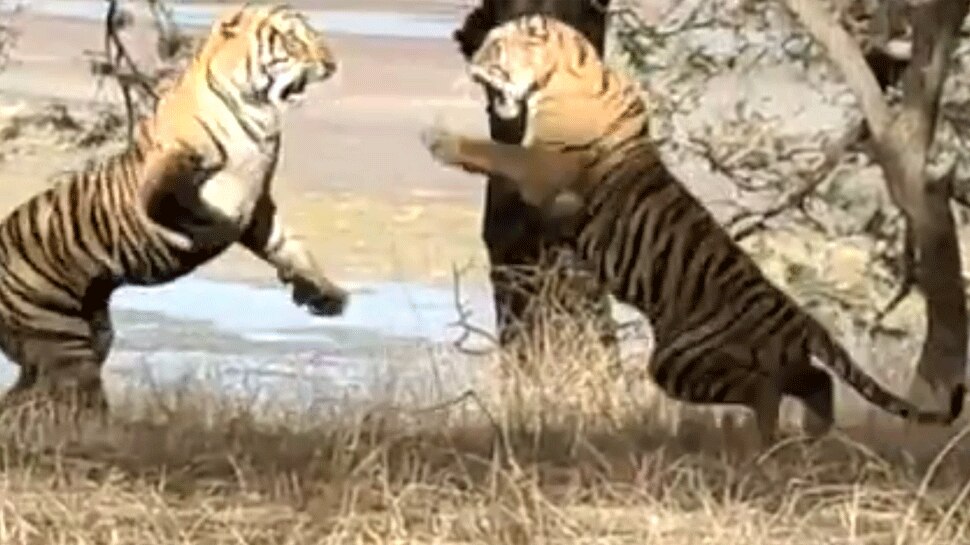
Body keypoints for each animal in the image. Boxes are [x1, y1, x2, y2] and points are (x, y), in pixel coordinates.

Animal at [0, 2, 348, 418]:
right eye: (294, 41)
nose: (331, 64)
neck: (259, 110)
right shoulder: (171, 171)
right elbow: (188, 207)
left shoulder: (260, 204)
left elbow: (288, 245)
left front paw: (322, 293)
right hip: (63, 340)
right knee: (75, 398)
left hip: (85, 333)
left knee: (25, 392)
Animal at [420, 14, 966, 446]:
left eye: (494, 50)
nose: (471, 66)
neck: (568, 70)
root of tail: (800, 318)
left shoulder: (541, 167)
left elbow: (497, 151)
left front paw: (441, 141)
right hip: (745, 361)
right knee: (814, 382)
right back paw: (810, 438)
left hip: (682, 361)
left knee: (768, 390)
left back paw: (772, 438)